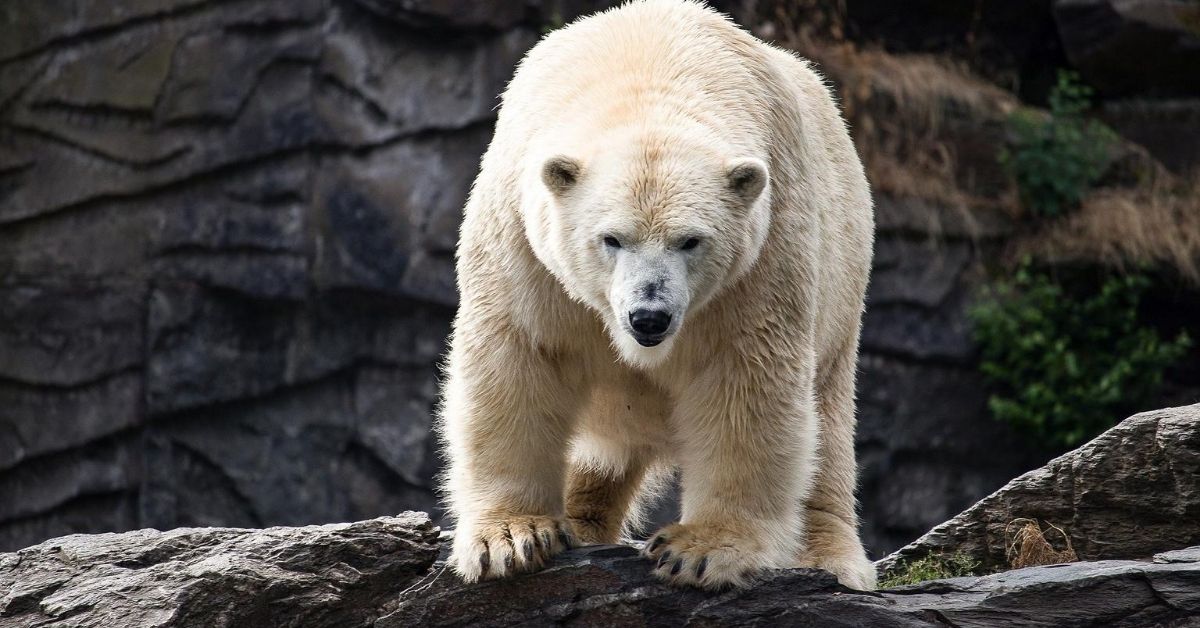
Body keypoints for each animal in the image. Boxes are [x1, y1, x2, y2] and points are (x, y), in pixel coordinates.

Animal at [438, 0, 876, 590]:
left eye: (690, 241)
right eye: (611, 238)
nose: (649, 316)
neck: (648, 63)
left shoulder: (761, 255)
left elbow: (746, 382)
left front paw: (702, 550)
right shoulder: (524, 246)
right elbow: (515, 360)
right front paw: (510, 538)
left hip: (842, 287)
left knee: (826, 427)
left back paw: (829, 558)